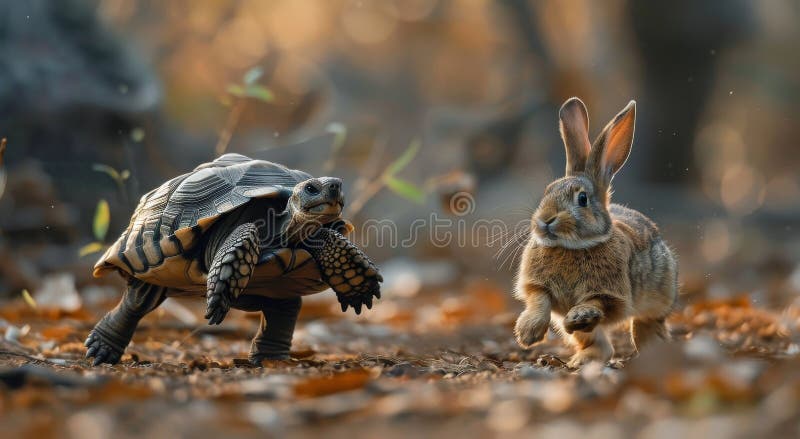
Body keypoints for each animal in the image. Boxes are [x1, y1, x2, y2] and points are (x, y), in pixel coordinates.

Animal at [513, 97, 678, 368]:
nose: (545, 220)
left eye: (582, 199)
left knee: (644, 327)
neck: (573, 246)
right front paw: (527, 333)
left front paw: (581, 314)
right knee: (601, 346)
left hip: (657, 301)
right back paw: (580, 360)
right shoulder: (537, 286)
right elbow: (539, 300)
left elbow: (599, 302)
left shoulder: (612, 294)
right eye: (547, 191)